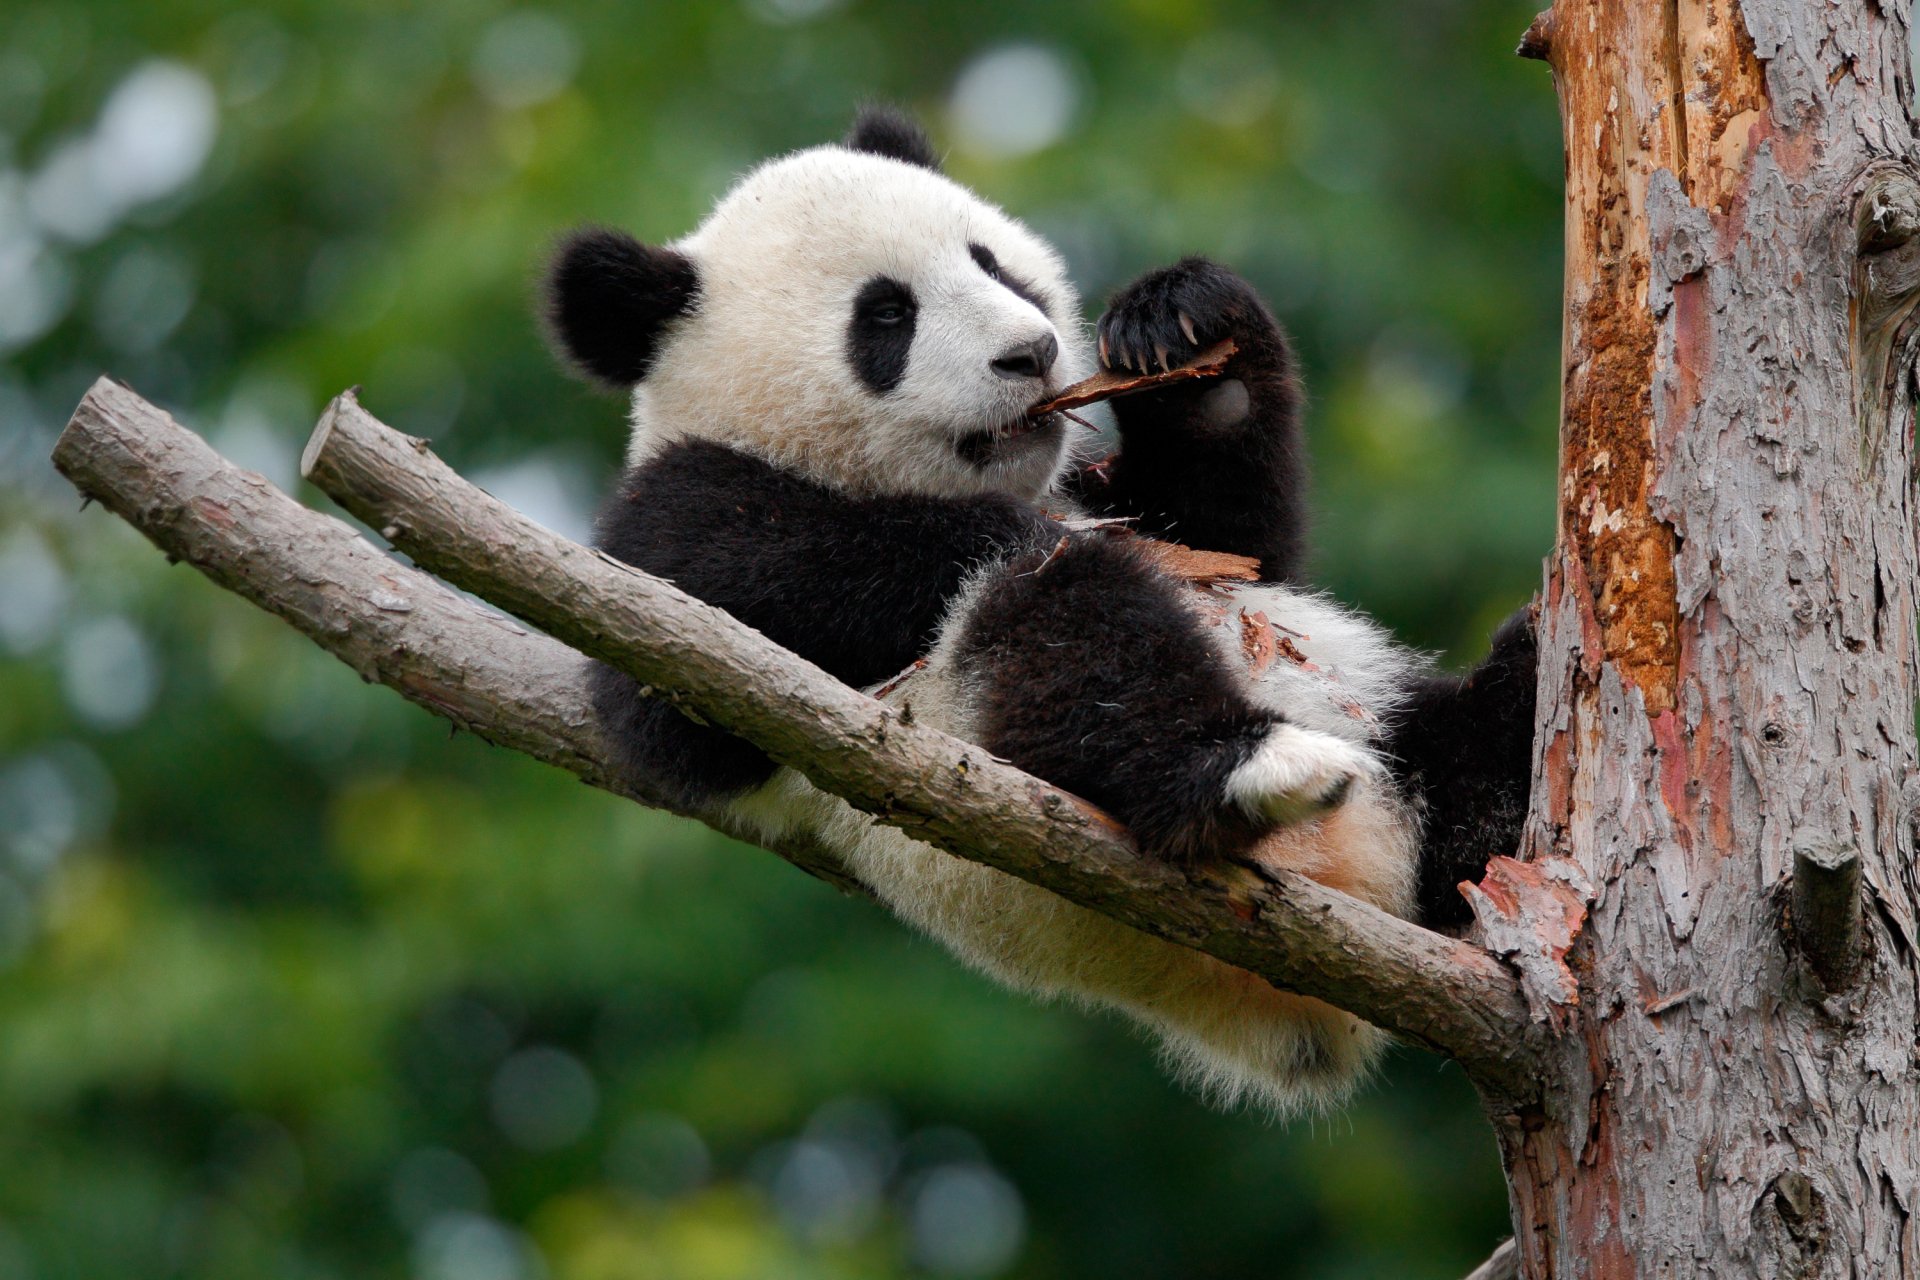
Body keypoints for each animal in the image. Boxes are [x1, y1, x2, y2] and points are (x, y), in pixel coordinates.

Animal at [542, 107, 1536, 1114]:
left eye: (991, 264)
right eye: (887, 316)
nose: (1032, 352)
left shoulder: (1126, 497)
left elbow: (1236, 538)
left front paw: (1186, 330)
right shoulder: (669, 530)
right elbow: (684, 685)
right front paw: (992, 529)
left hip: (1379, 718)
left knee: (1453, 754)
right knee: (1070, 634)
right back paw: (1239, 766)